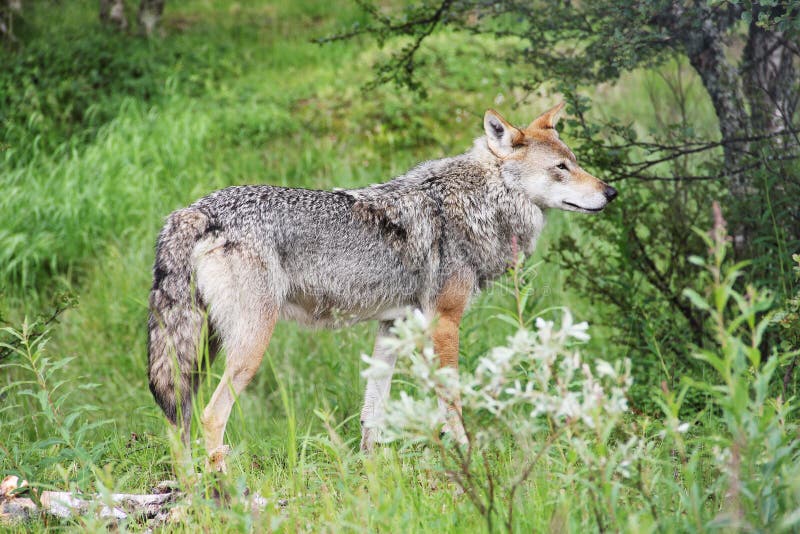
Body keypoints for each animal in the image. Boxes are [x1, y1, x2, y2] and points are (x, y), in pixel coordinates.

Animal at [147, 103, 617, 471]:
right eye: (561, 169)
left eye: (576, 161)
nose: (611, 191)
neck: (478, 204)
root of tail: (194, 210)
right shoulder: (444, 323)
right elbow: (453, 404)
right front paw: (468, 455)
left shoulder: (393, 327)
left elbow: (373, 412)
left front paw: (370, 474)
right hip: (247, 348)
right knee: (211, 416)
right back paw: (226, 489)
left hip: (201, 353)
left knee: (178, 422)